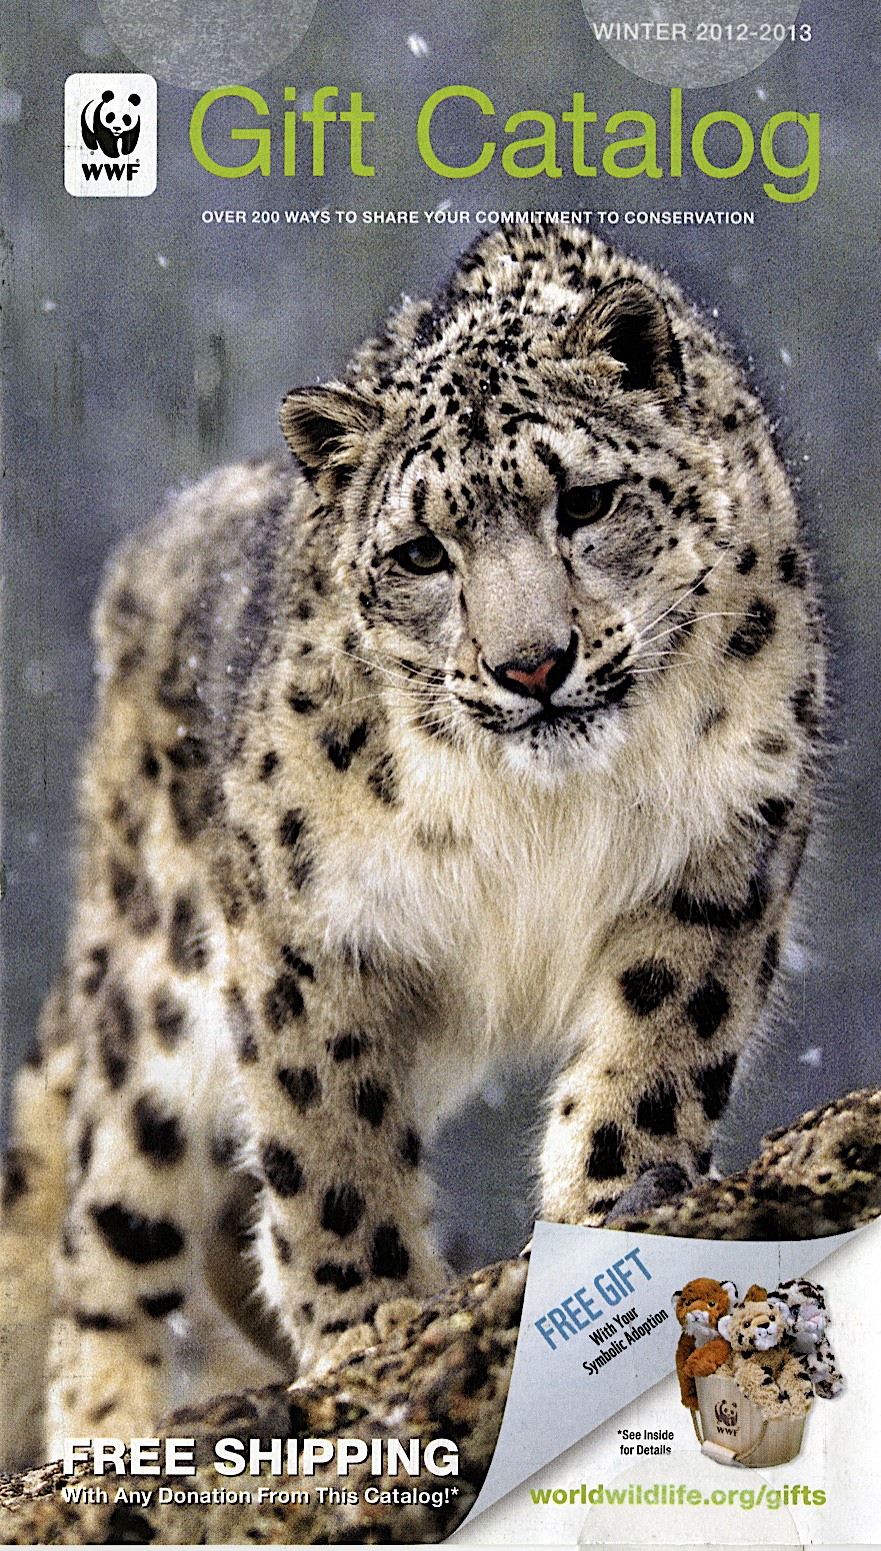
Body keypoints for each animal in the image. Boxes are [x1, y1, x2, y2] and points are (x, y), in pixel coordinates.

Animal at [0, 221, 826, 1469]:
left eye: (586, 502)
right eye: (423, 554)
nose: (532, 664)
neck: (543, 807)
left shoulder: (718, 850)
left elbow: (650, 1053)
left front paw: (609, 1215)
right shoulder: (309, 929)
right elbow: (328, 1146)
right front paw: (367, 1327)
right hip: (156, 1001)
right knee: (109, 1224)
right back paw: (110, 1434)